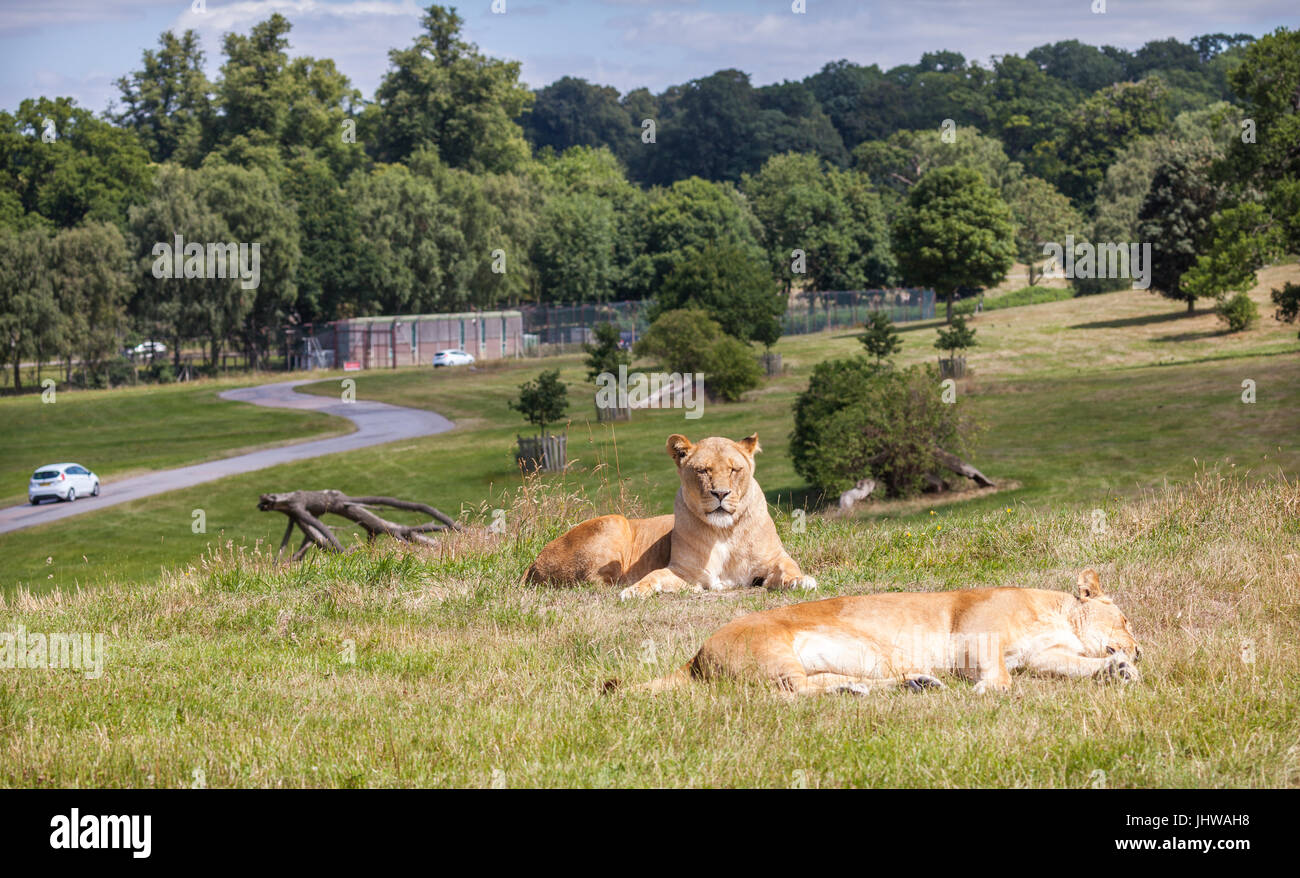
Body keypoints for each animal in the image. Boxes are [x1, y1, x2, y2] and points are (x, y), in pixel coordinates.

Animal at [523, 433, 815, 599]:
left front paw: (801, 581)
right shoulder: (681, 570)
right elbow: (653, 576)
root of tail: (533, 563)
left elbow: (789, 568)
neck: (723, 531)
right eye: (703, 470)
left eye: (734, 470)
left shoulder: (774, 558)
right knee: (595, 582)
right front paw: (634, 591)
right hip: (615, 521)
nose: (720, 493)